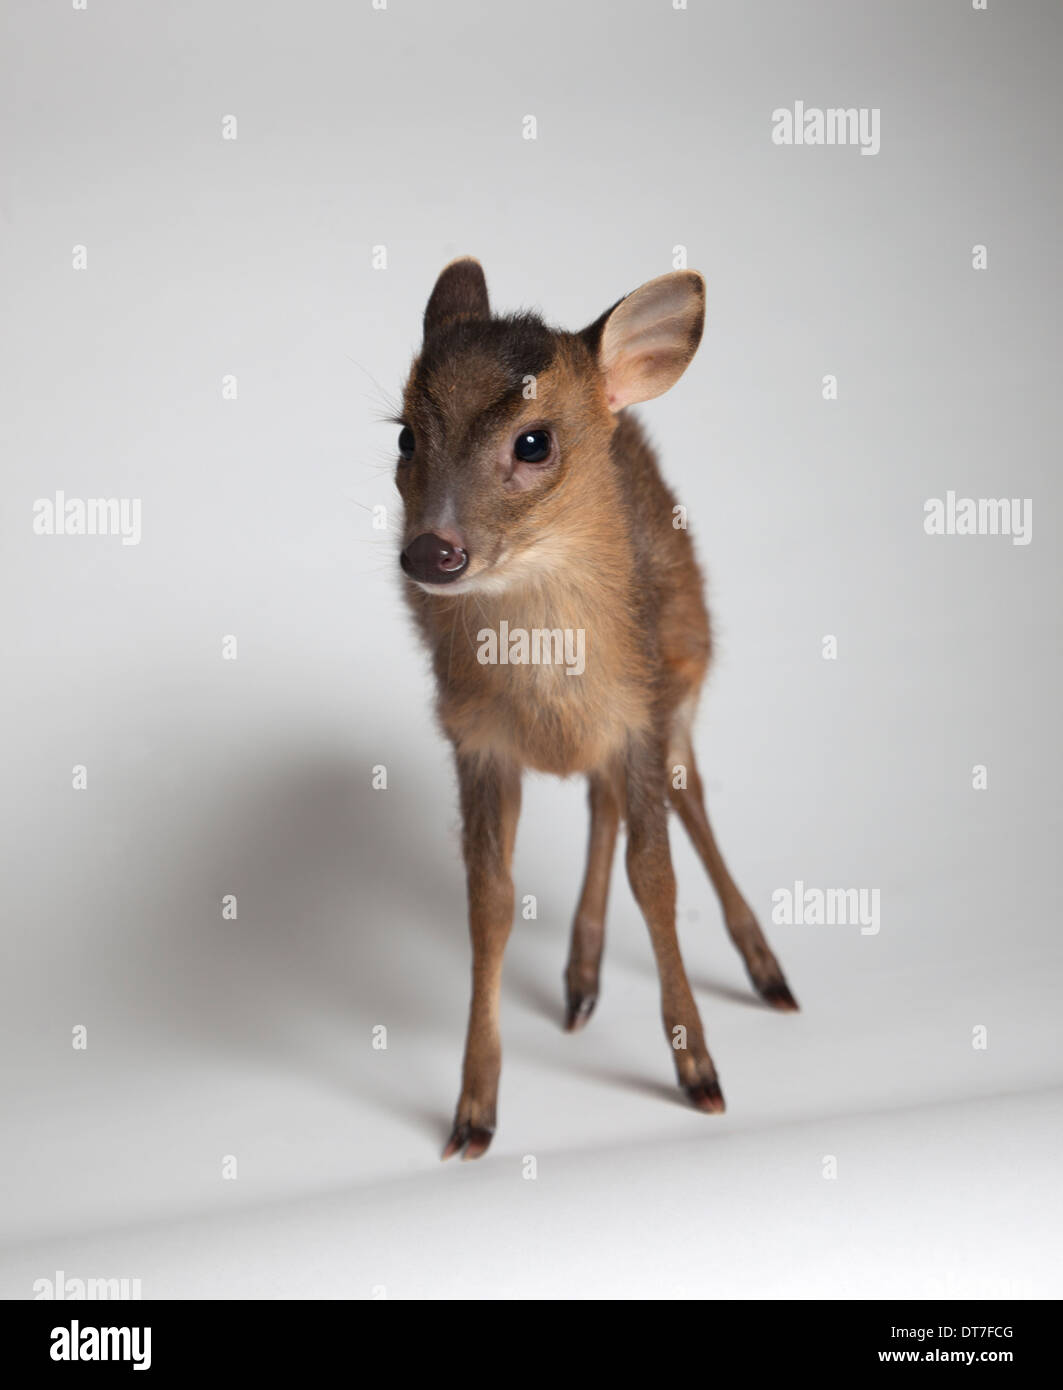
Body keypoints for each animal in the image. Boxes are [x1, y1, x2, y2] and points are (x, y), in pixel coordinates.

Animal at [393, 258, 798, 1160]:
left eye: (533, 441)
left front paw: (698, 1070)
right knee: (600, 801)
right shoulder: (474, 740)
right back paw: (580, 982)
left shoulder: (641, 716)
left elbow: (657, 878)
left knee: (687, 795)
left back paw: (767, 973)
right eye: (404, 436)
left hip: (681, 677)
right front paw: (473, 1111)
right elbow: (489, 901)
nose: (431, 551)